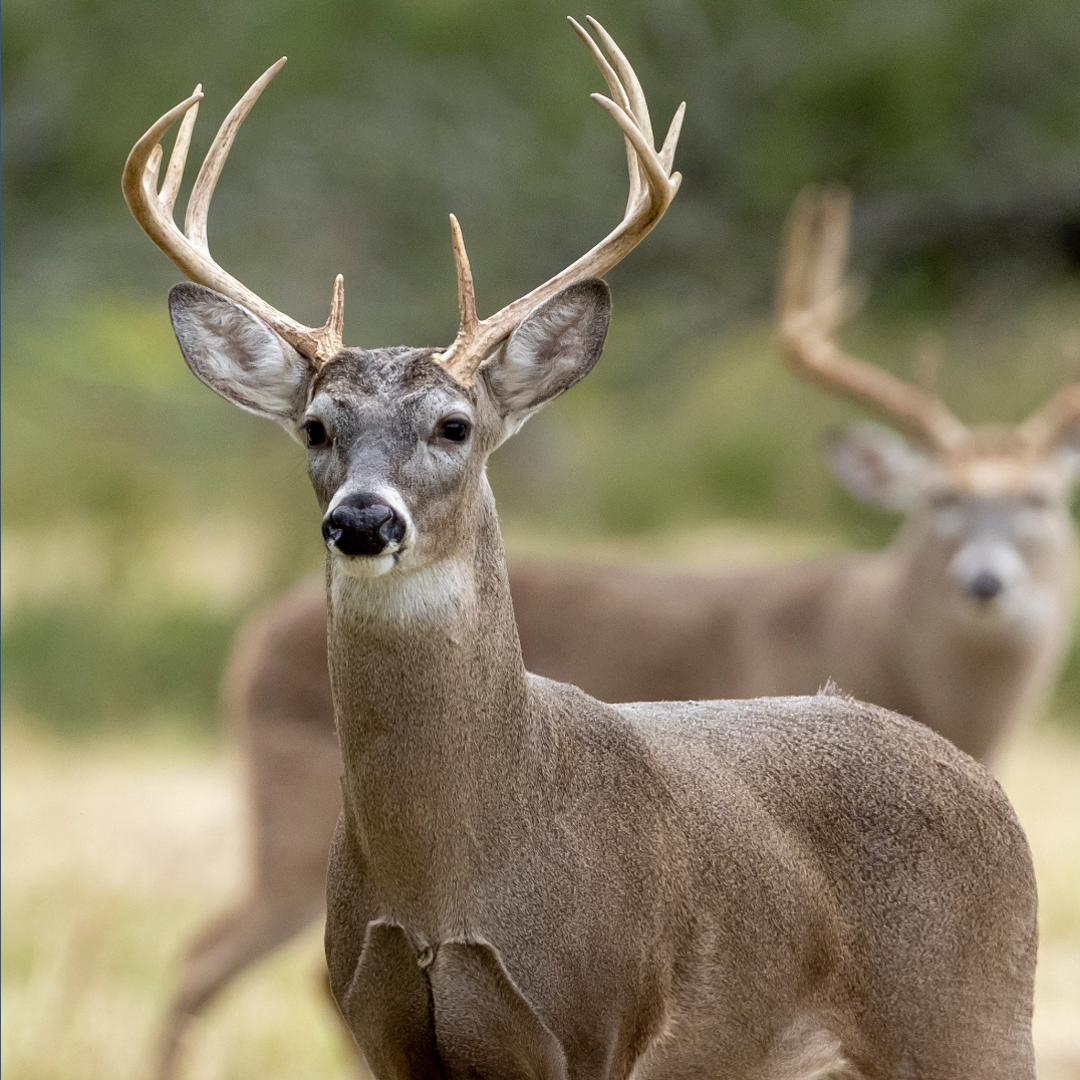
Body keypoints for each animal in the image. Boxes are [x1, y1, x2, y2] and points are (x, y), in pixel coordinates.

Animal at [126, 18, 1039, 1079]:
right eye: (316, 427)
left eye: (453, 425)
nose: (362, 521)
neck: (449, 879)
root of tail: (982, 781)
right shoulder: (383, 1024)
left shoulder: (598, 1013)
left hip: (974, 1015)